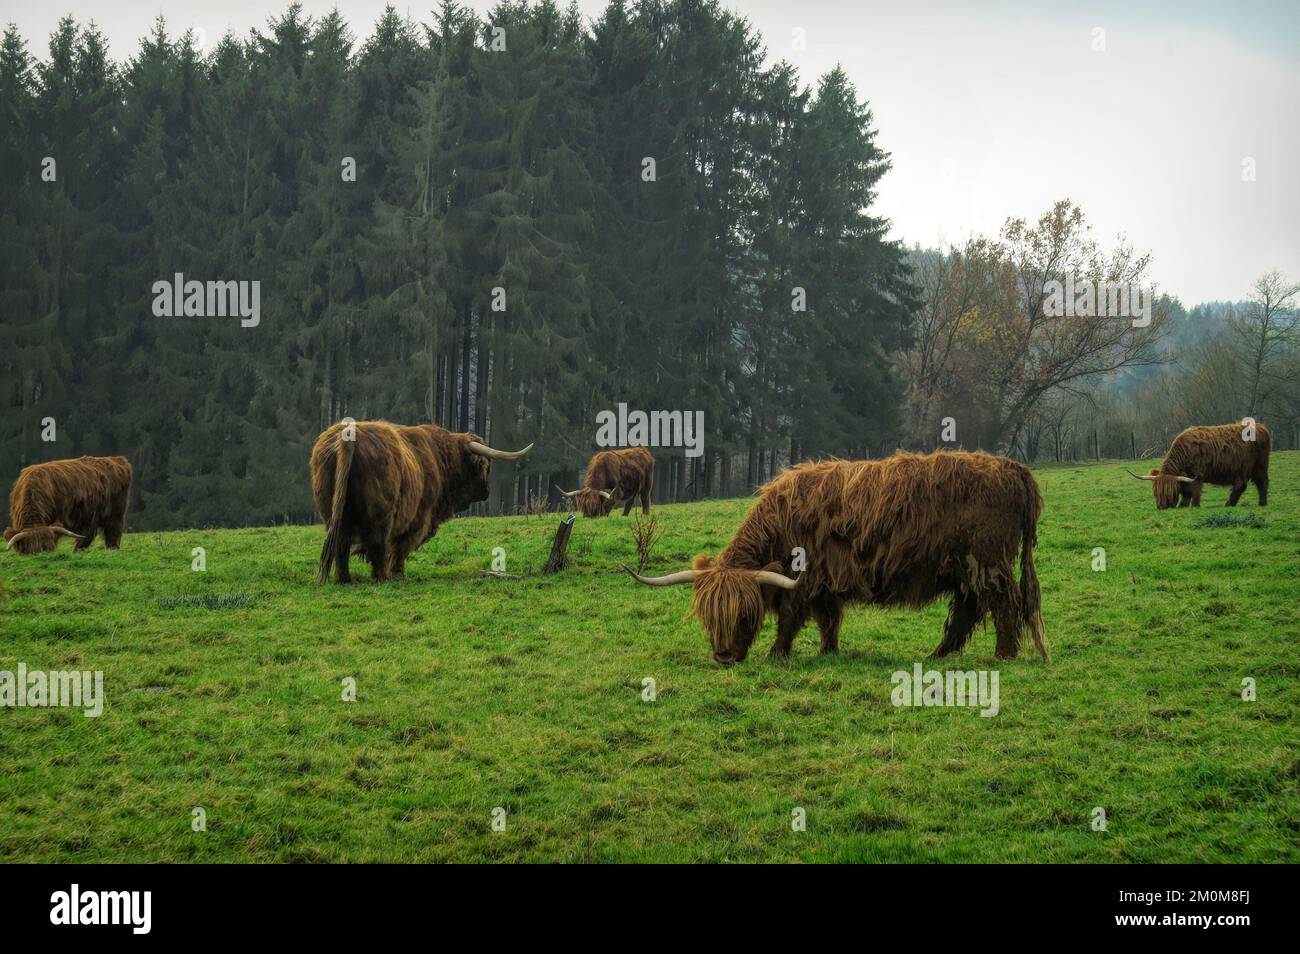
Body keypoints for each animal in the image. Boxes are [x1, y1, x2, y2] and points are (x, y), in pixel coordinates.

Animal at [312, 420, 533, 583]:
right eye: (485, 465)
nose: (486, 491)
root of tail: (348, 436)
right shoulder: (419, 518)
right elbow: (399, 548)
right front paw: (398, 574)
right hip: (381, 514)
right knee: (377, 544)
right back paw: (382, 577)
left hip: (332, 513)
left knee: (341, 545)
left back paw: (344, 579)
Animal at [624, 450, 1047, 666]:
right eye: (710, 618)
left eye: (745, 615)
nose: (725, 657)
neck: (780, 522)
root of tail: (1017, 470)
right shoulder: (825, 584)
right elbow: (829, 619)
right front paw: (829, 651)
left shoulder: (804, 581)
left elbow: (791, 620)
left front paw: (777, 653)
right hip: (964, 568)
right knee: (967, 610)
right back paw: (937, 655)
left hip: (988, 561)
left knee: (1005, 604)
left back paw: (1003, 655)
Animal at [1127, 421, 1270, 509]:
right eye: (1156, 493)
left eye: (1171, 492)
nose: (1162, 507)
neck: (1184, 452)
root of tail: (1260, 427)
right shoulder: (1187, 477)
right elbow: (1186, 493)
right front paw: (1183, 506)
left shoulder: (1198, 474)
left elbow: (1195, 491)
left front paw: (1195, 506)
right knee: (1251, 484)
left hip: (1254, 466)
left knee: (1253, 483)